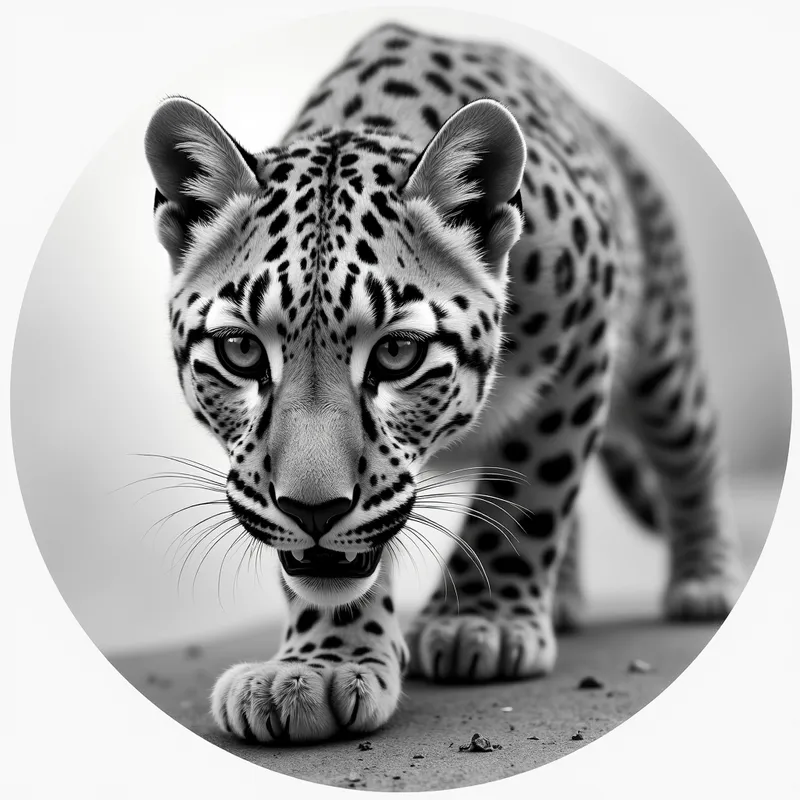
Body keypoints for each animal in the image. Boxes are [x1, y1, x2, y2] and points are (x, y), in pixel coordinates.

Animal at [144, 21, 742, 744]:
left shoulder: (585, 340)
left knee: (692, 449)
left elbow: (530, 494)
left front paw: (480, 623)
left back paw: (704, 580)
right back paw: (563, 600)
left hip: (660, 354)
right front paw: (319, 666)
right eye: (239, 351)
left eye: (398, 353)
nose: (313, 511)